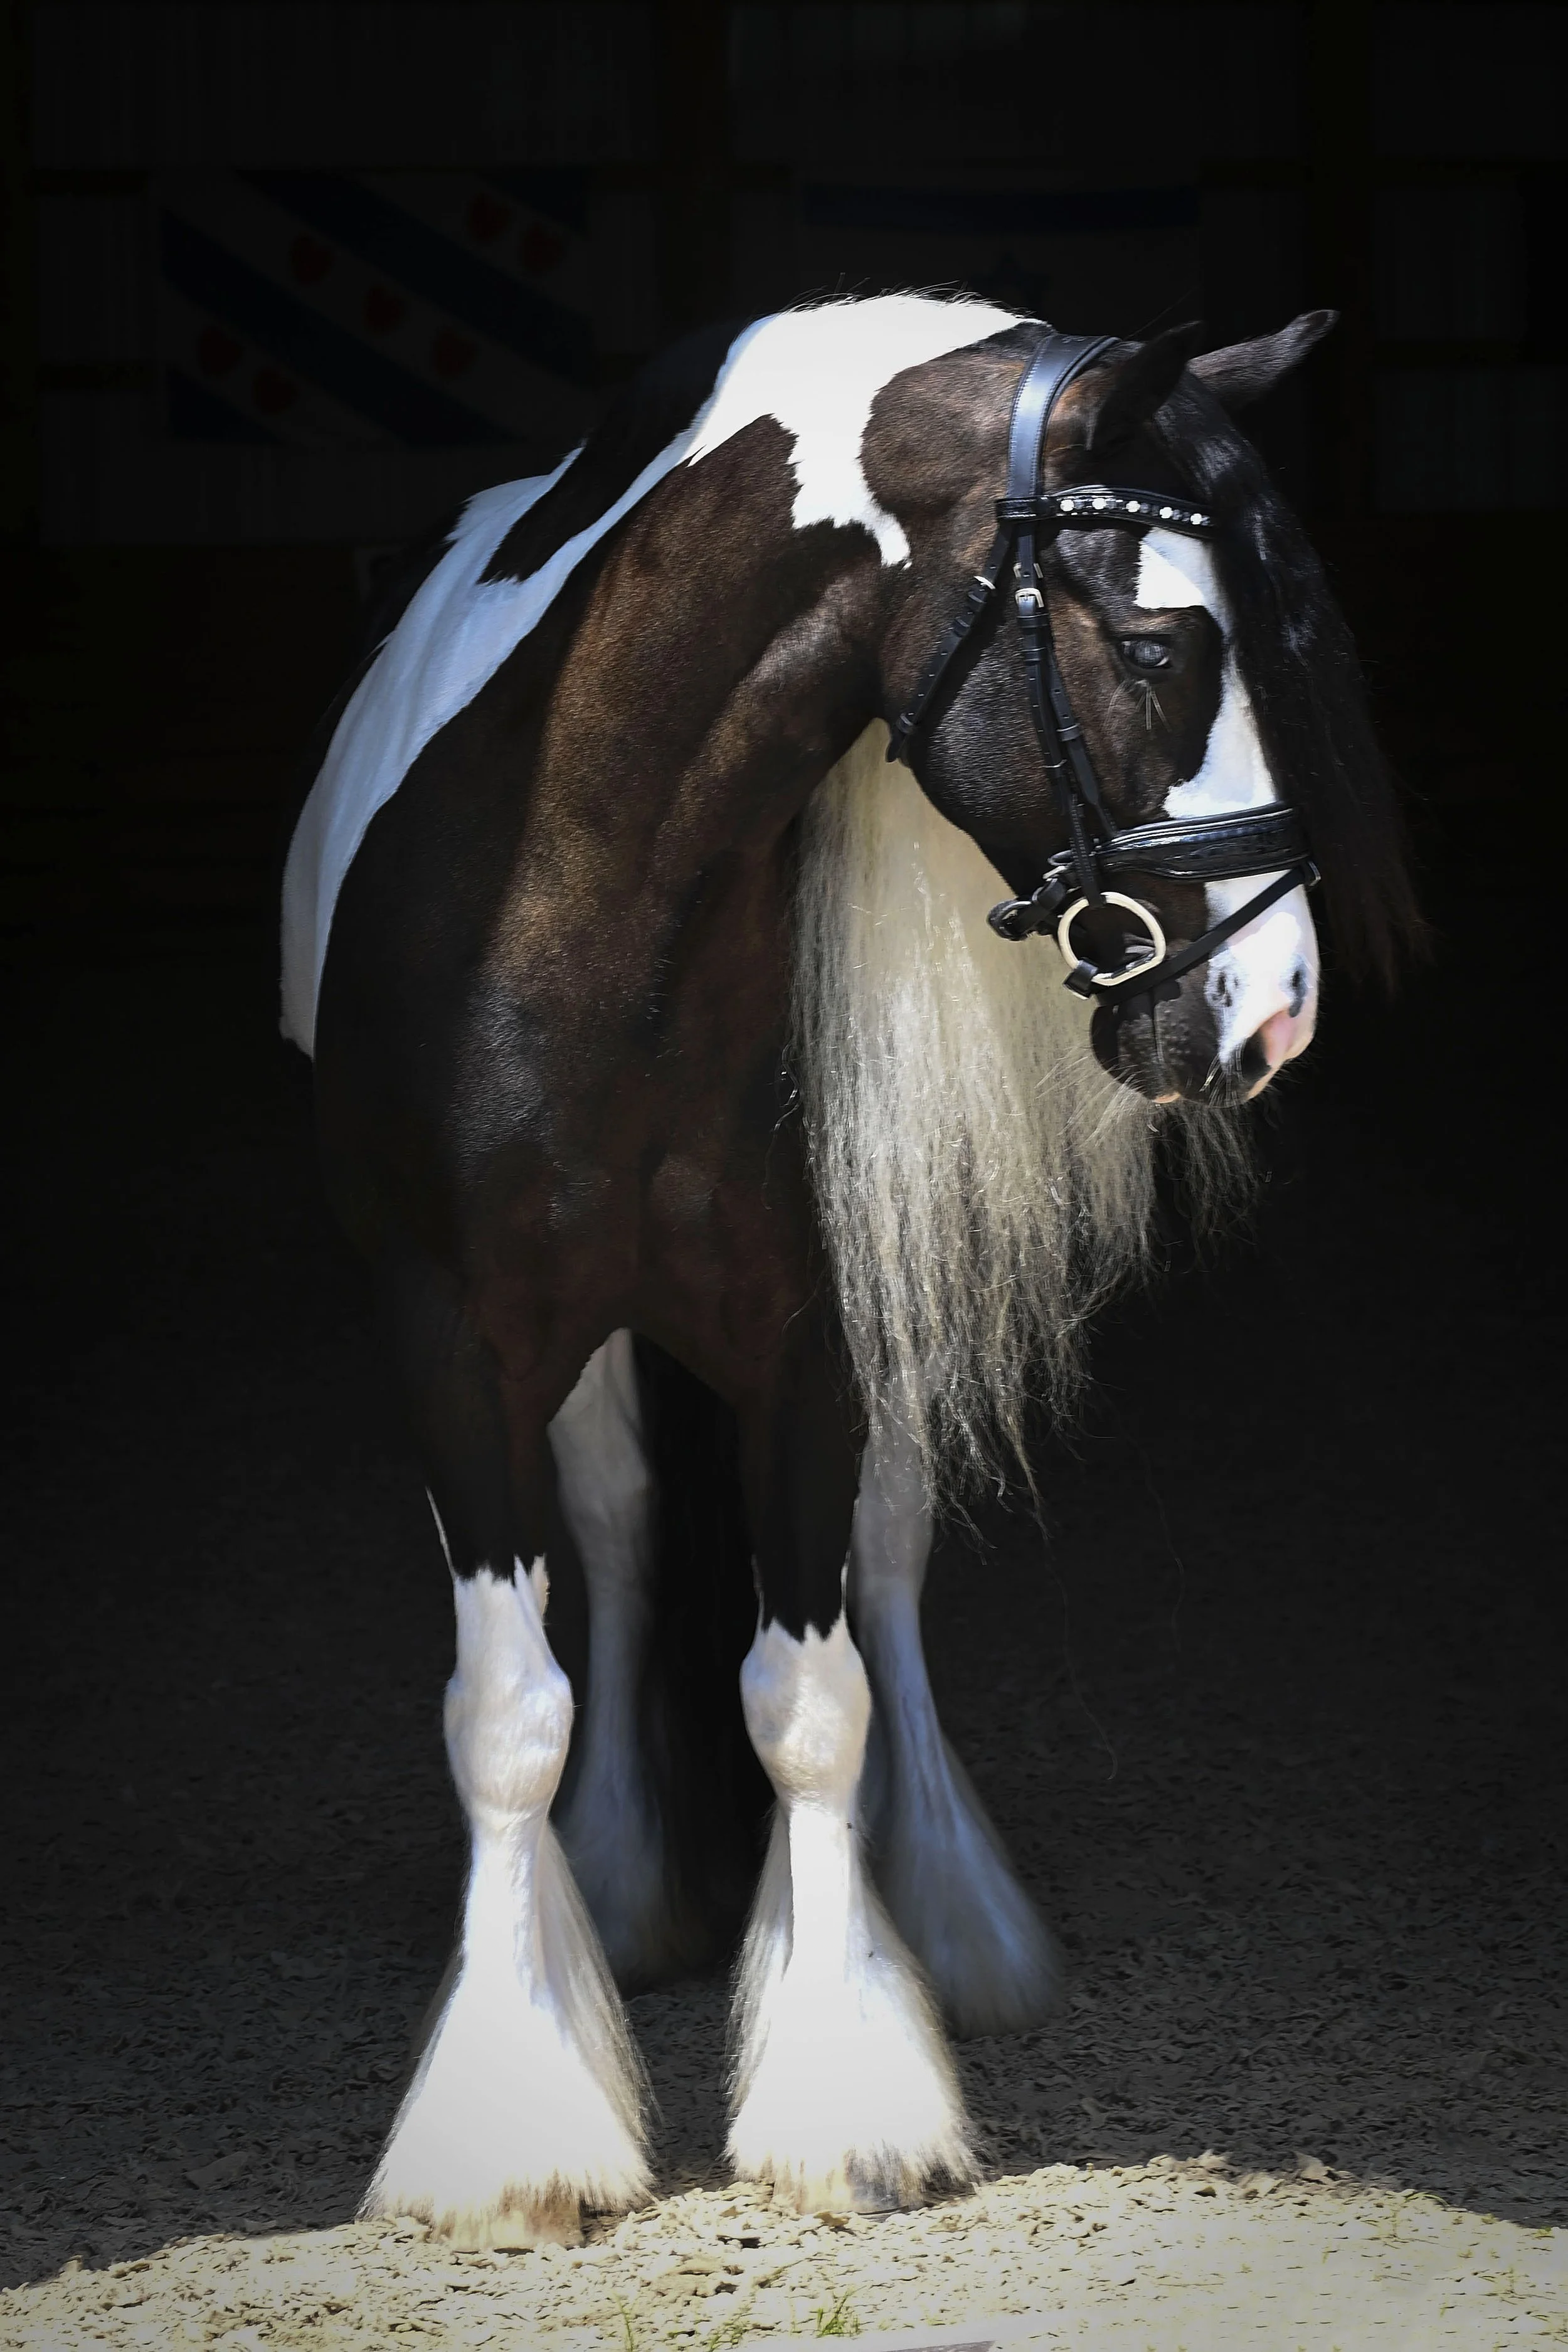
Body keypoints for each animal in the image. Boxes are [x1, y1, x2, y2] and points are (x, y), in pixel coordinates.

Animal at [280, 295, 1417, 2244]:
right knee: (619, 1534)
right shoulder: (452, 1338)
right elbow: (508, 1710)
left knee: (881, 1562)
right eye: (1160, 643)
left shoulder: (806, 1335)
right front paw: (515, 2121)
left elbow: (811, 1696)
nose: (1272, 1017)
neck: (587, 883)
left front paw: (845, 2093)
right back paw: (621, 1884)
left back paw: (938, 1909)